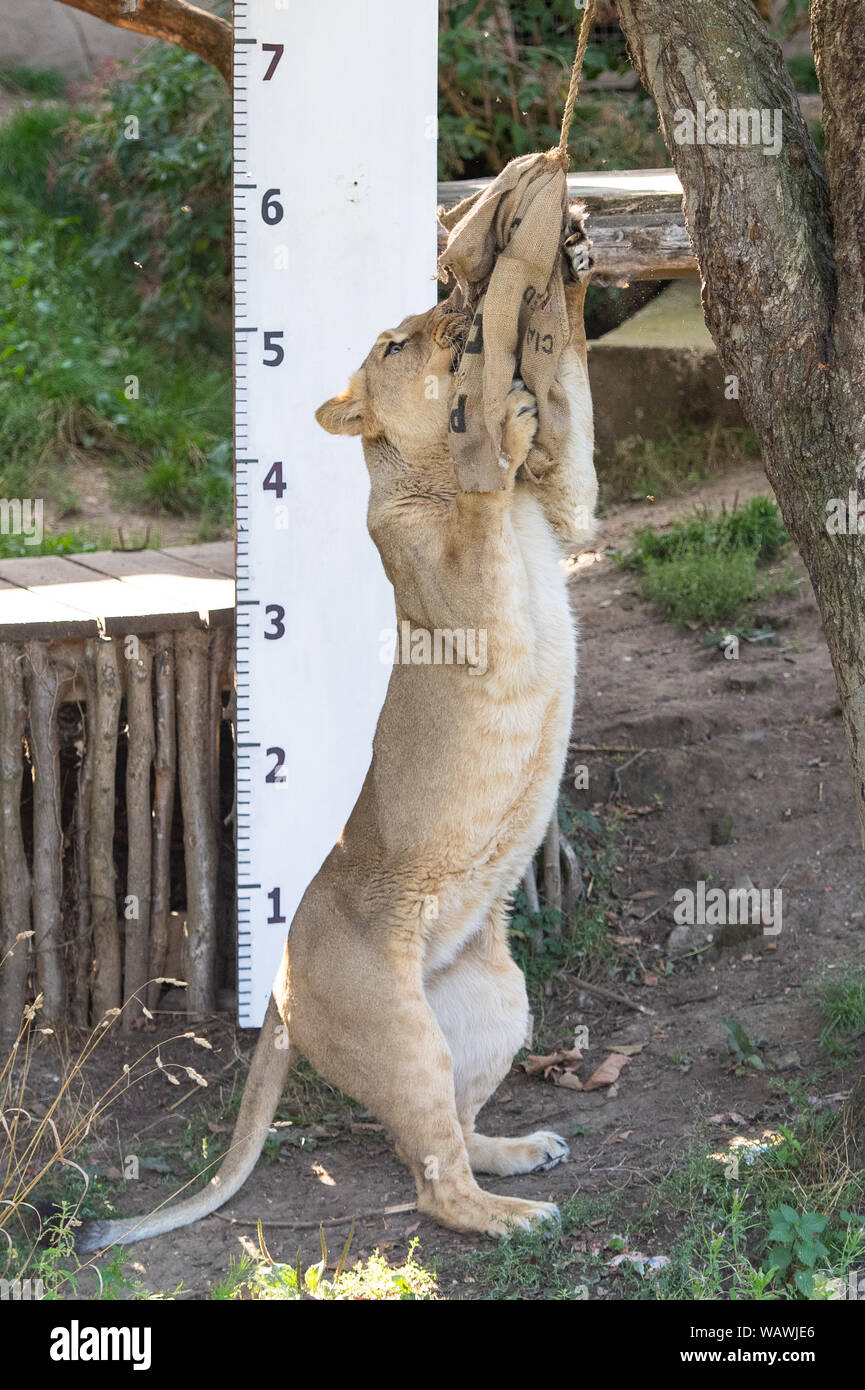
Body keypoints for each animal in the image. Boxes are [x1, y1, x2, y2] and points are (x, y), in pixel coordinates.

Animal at [78, 209, 596, 1251]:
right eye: (395, 345)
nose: (450, 313)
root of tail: (276, 984)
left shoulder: (568, 511)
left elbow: (573, 434)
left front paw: (574, 268)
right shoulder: (457, 597)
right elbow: (481, 498)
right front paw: (493, 427)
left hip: (495, 997)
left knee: (452, 1135)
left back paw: (522, 1153)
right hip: (396, 1033)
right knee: (431, 1179)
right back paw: (516, 1216)